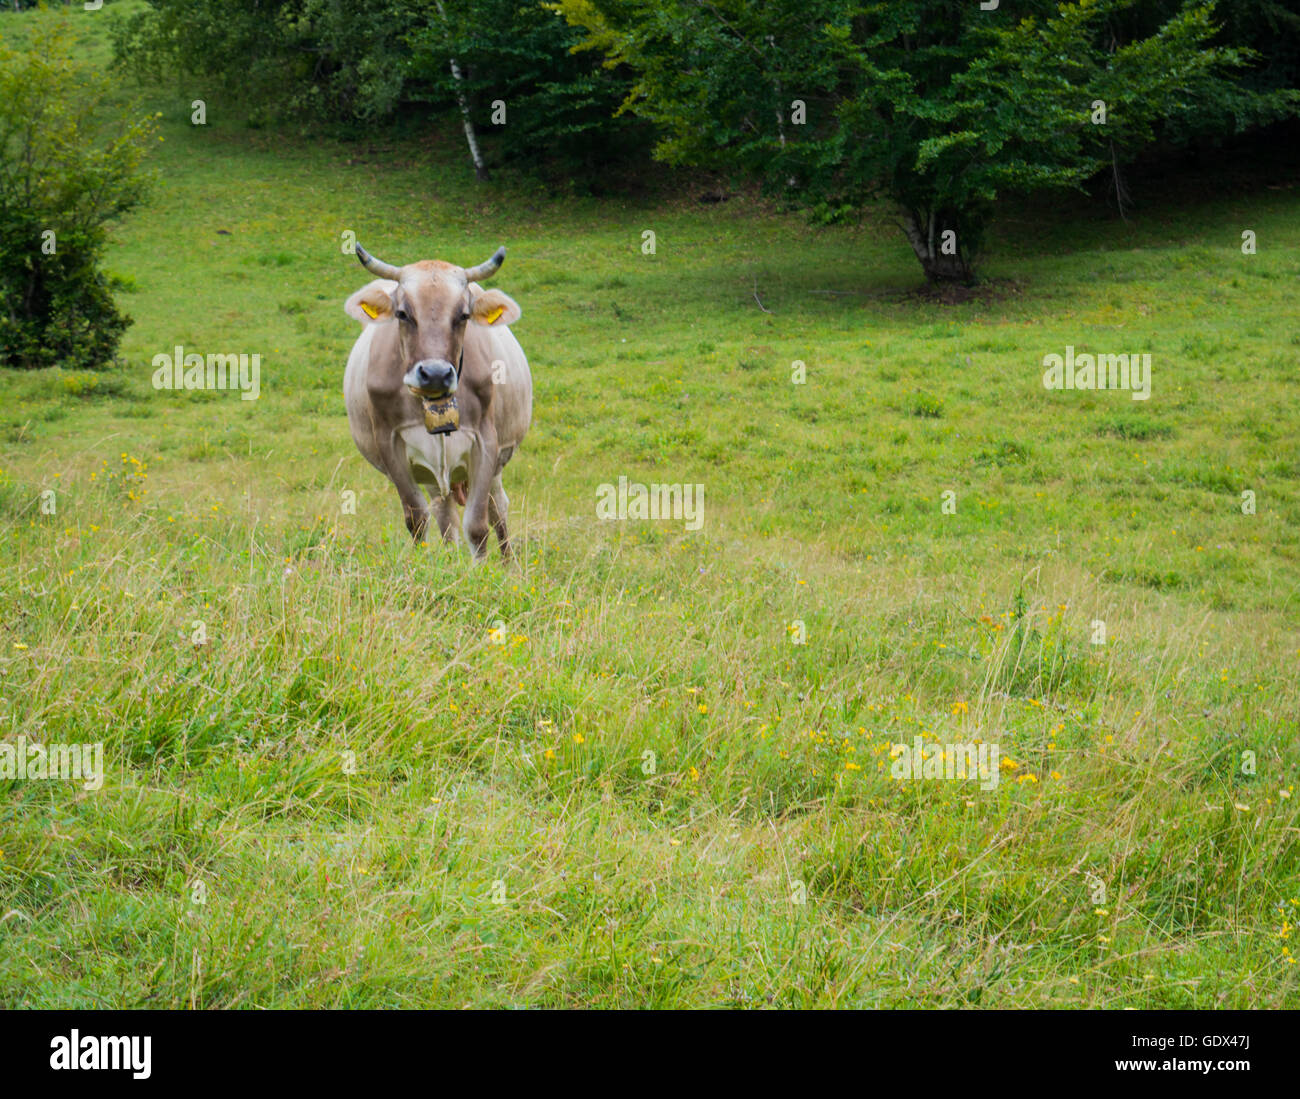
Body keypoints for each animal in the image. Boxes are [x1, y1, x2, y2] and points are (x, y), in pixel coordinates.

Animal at [342, 243, 531, 560]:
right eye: (402, 313)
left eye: (464, 315)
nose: (435, 374)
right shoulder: (389, 442)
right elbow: (417, 518)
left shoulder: (486, 440)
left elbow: (478, 526)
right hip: (432, 473)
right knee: (445, 515)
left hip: (496, 463)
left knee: (498, 510)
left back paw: (509, 566)